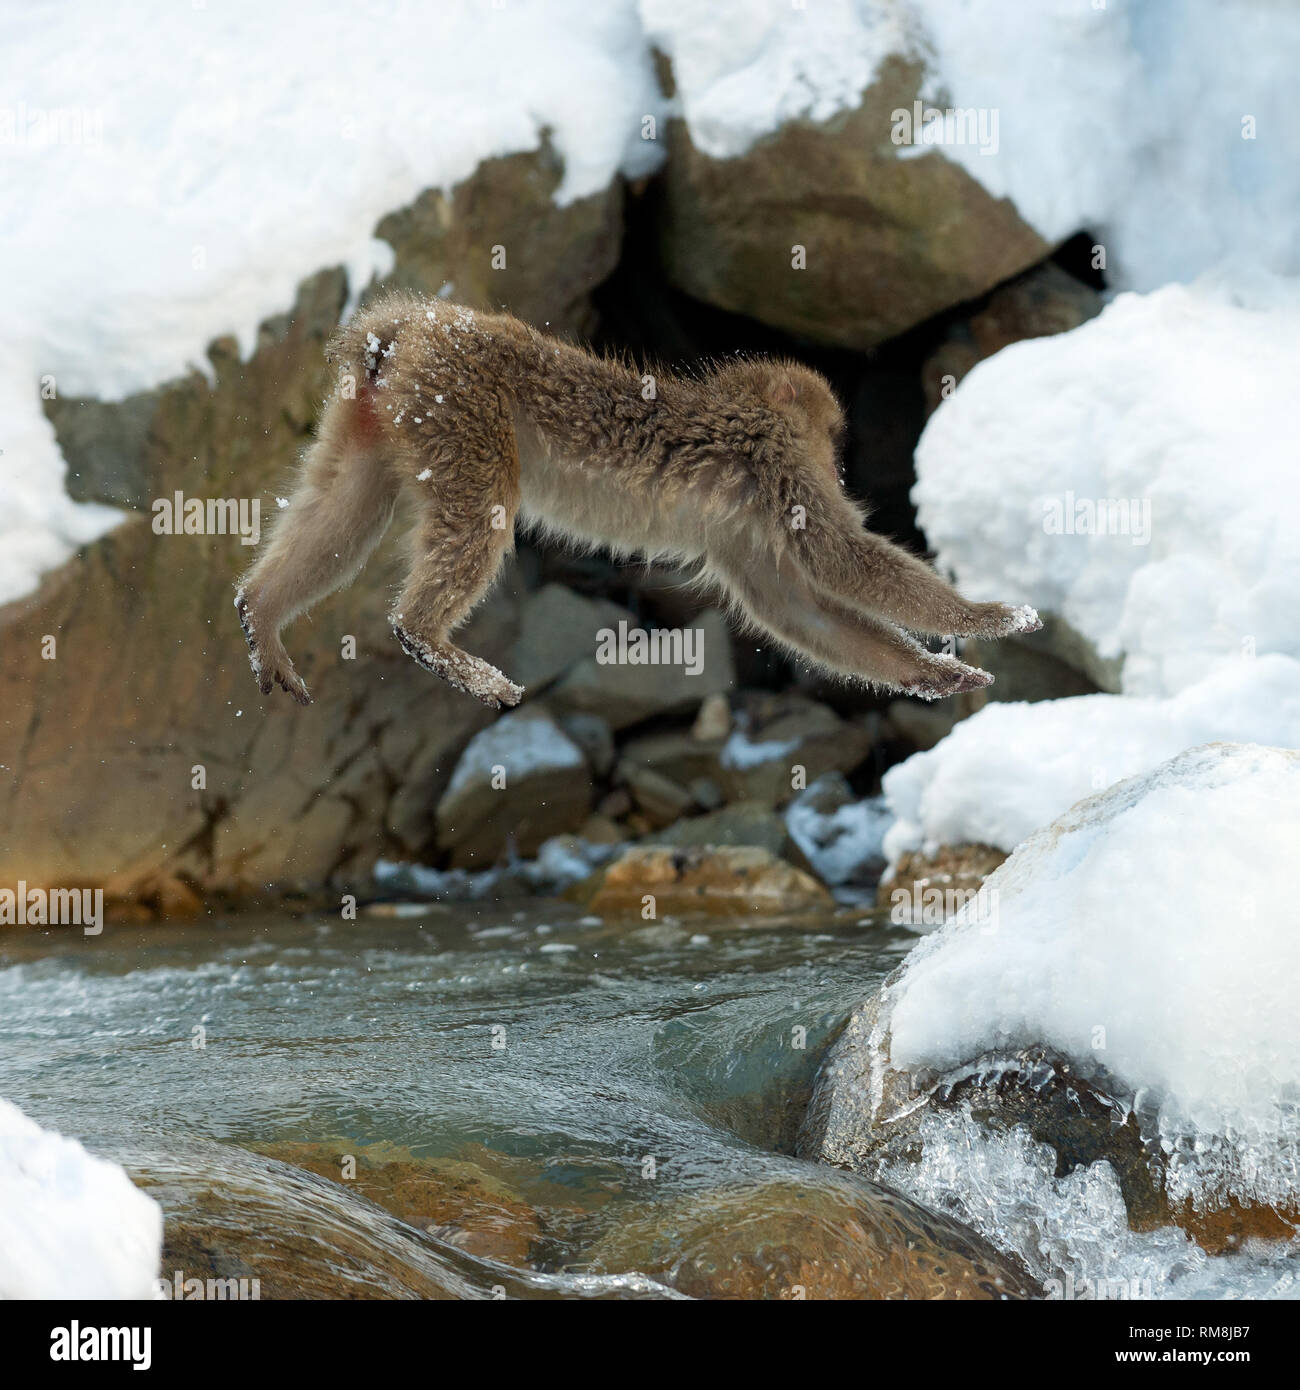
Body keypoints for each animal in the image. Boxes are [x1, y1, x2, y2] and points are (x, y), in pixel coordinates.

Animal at [235, 290, 1040, 709]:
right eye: (832, 436)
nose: (841, 464)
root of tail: (409, 327)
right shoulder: (779, 465)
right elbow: (840, 558)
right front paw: (988, 616)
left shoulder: (742, 531)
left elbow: (796, 609)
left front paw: (933, 673)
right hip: (461, 408)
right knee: (477, 517)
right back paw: (426, 637)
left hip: (379, 415)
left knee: (347, 509)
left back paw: (261, 611)